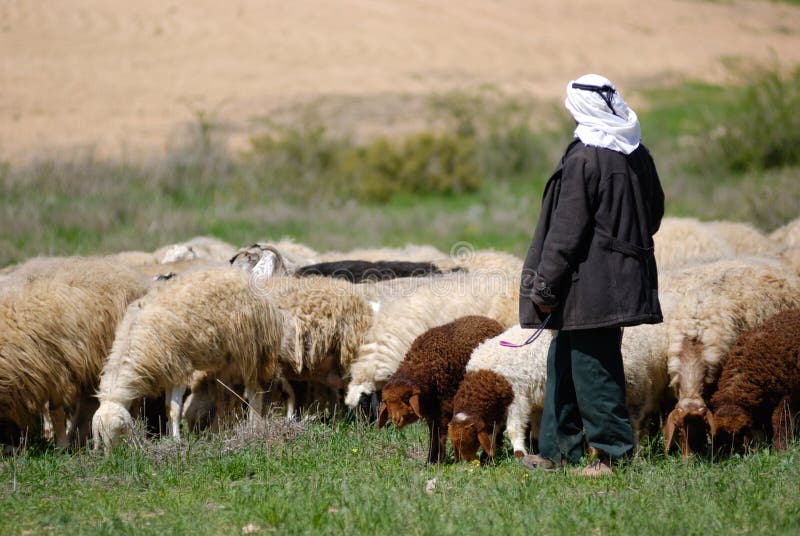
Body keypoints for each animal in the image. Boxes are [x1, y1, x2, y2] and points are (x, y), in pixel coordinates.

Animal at [92, 268, 282, 450]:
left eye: (119, 429)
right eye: (100, 433)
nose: (112, 455)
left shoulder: (178, 368)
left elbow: (175, 409)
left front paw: (176, 441)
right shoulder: (167, 371)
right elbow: (168, 408)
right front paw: (170, 438)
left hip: (250, 349)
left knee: (253, 390)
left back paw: (253, 429)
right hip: (227, 359)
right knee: (226, 397)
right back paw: (217, 433)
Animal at [378, 316, 505, 463]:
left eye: (405, 399)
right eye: (386, 402)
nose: (396, 420)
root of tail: (490, 321)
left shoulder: (444, 408)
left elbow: (439, 434)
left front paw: (437, 459)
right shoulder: (431, 412)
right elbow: (433, 433)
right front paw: (431, 459)